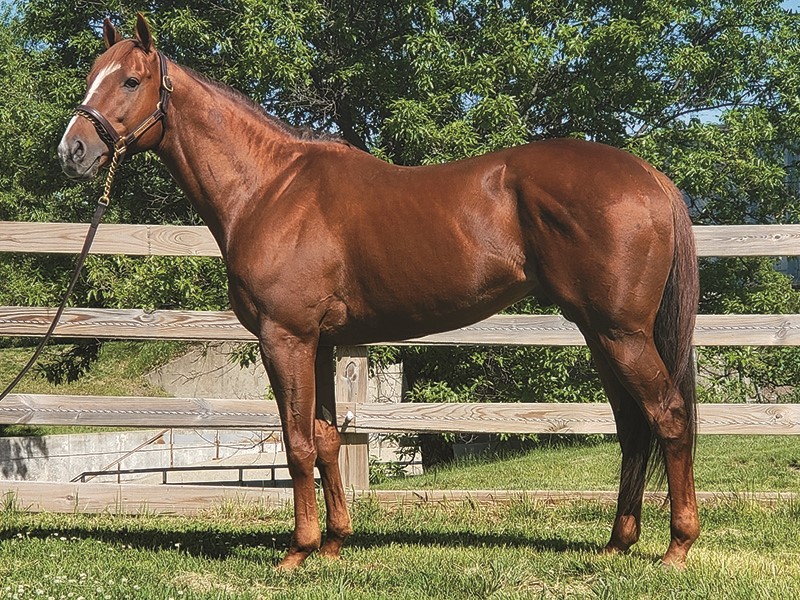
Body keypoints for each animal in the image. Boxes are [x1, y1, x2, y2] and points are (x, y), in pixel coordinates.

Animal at [59, 14, 700, 569]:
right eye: (91, 73)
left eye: (131, 80)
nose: (71, 152)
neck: (269, 189)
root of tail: (651, 178)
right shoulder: (317, 343)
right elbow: (324, 439)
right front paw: (334, 543)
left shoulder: (284, 337)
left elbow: (296, 443)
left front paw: (297, 551)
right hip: (600, 334)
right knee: (633, 426)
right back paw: (618, 543)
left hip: (620, 333)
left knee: (667, 416)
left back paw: (677, 547)